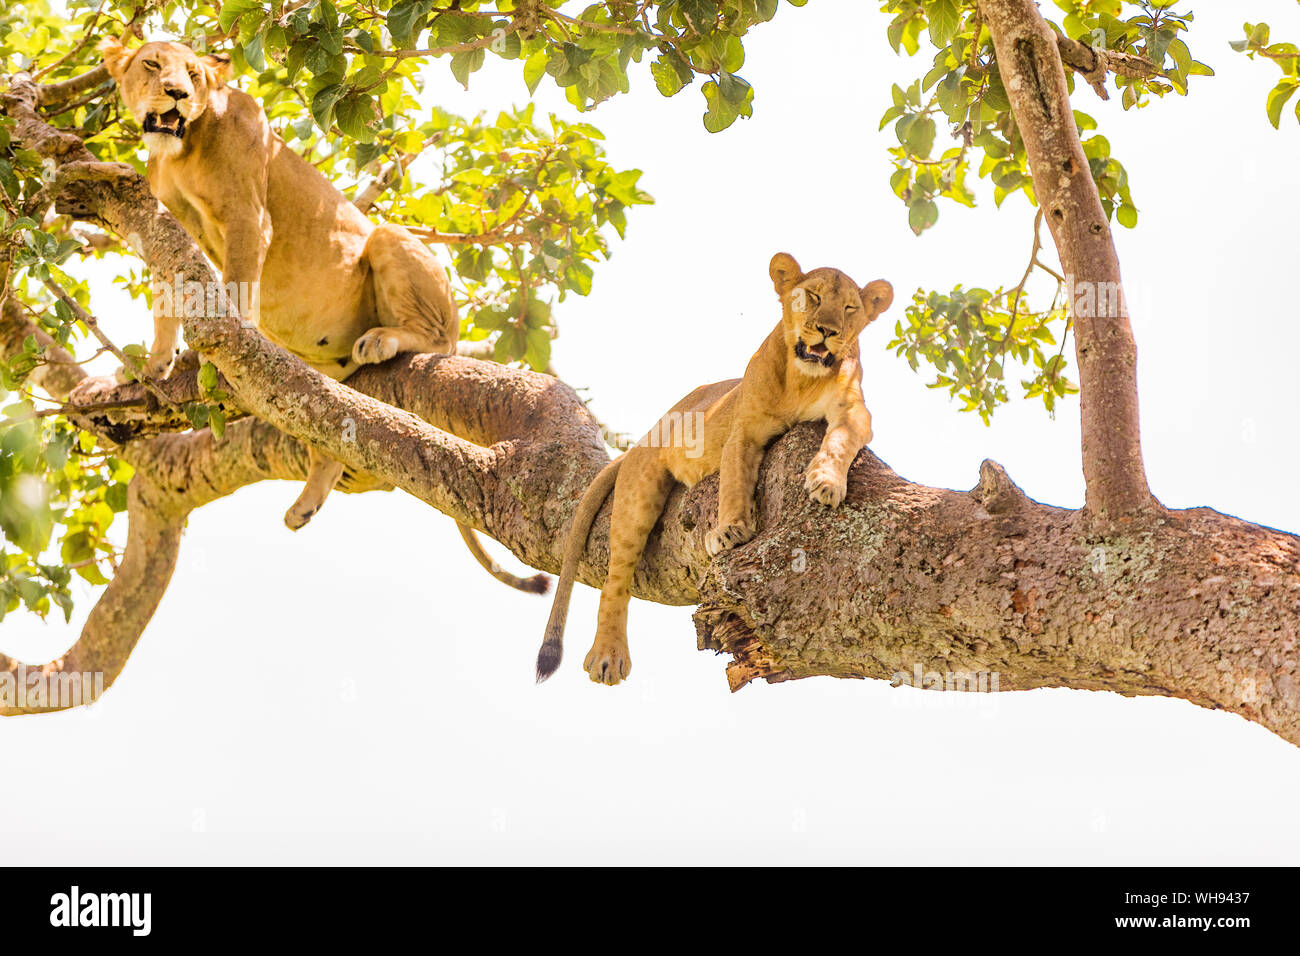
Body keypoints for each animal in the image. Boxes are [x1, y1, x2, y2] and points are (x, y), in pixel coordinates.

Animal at [100, 36, 547, 593]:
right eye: (152, 64)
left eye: (195, 74)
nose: (178, 94)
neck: (182, 150)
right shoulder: (163, 220)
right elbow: (167, 298)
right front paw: (156, 364)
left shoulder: (250, 217)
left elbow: (236, 288)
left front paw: (213, 353)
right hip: (303, 393)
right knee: (327, 438)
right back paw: (307, 502)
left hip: (389, 241)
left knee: (435, 338)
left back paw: (380, 341)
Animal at [534, 253, 893, 684]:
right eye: (813, 296)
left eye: (850, 308)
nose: (828, 330)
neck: (803, 379)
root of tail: (647, 435)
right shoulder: (744, 430)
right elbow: (734, 481)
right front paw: (730, 530)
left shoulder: (853, 411)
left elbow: (839, 442)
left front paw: (826, 481)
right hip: (639, 490)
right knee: (615, 578)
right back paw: (607, 653)